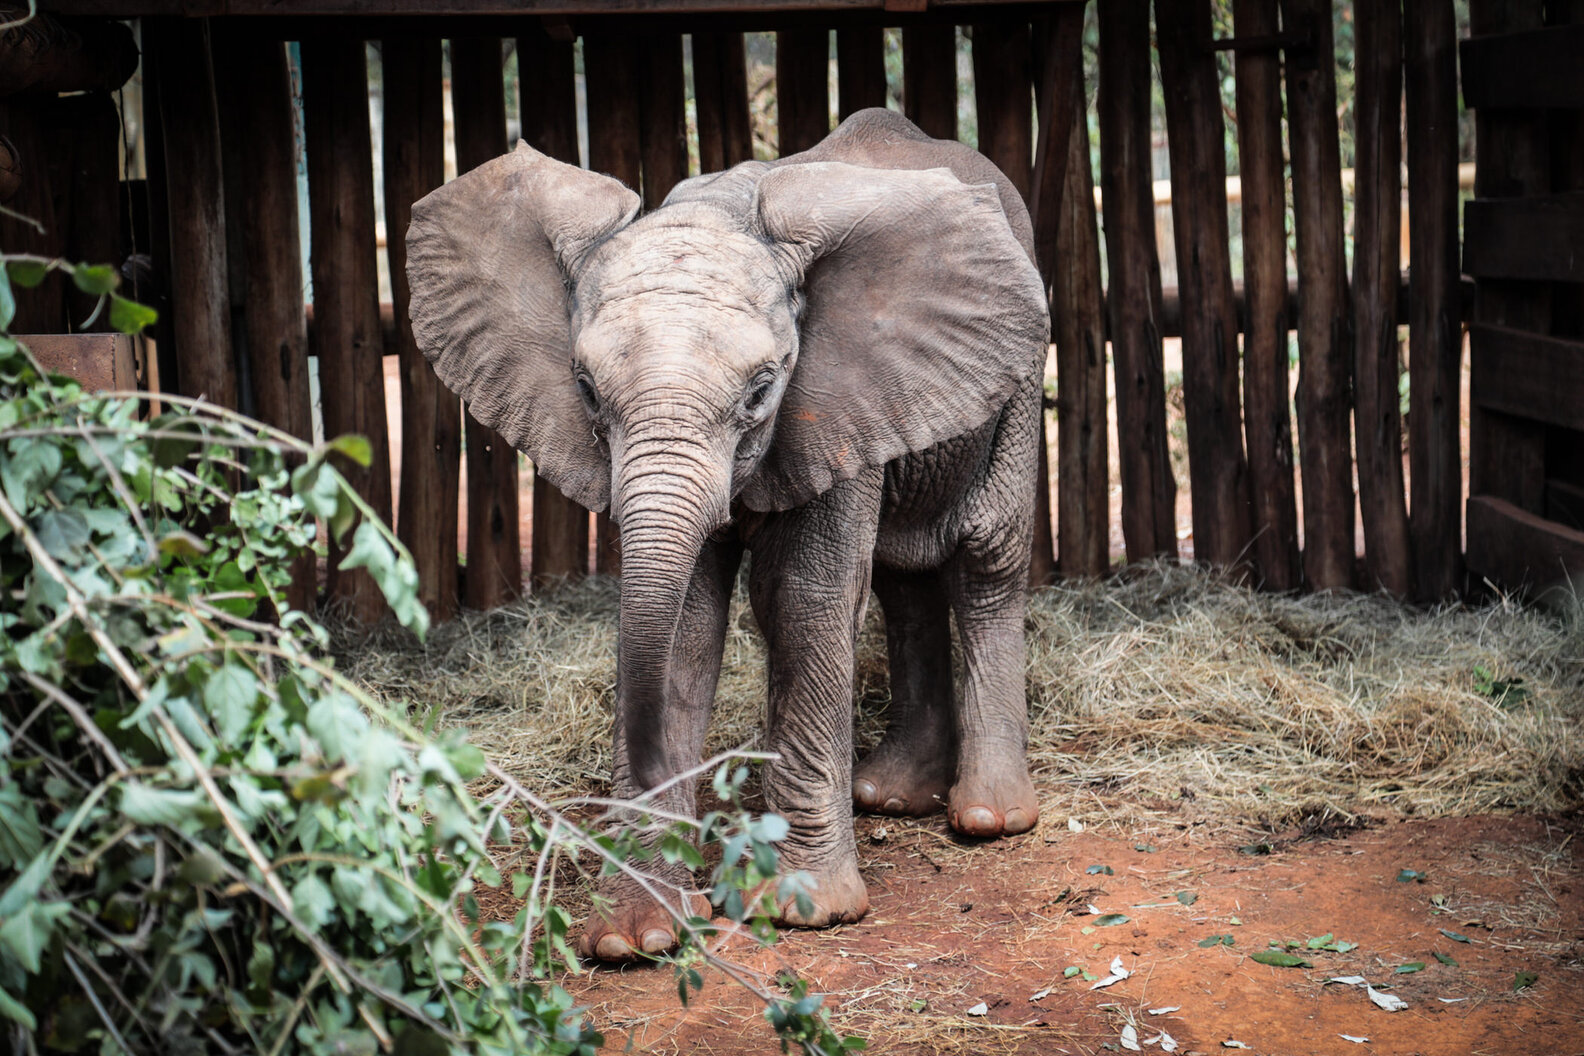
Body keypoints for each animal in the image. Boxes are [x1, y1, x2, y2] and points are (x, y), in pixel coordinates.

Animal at [406, 108, 1049, 963]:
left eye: (761, 390)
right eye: (585, 389)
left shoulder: (829, 397)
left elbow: (806, 602)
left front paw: (806, 910)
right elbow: (683, 624)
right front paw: (638, 938)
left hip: (1022, 366)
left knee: (983, 554)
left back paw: (988, 818)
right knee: (901, 571)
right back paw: (887, 795)